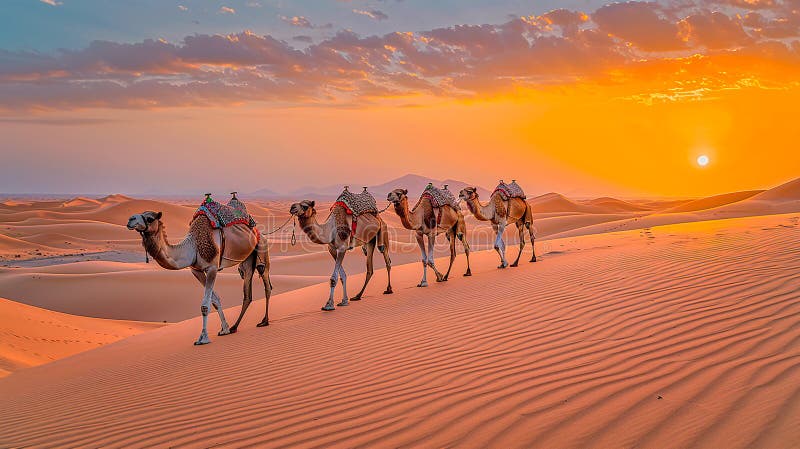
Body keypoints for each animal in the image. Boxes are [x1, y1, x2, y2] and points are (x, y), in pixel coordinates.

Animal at [126, 210, 271, 345]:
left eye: (150, 219)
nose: (130, 219)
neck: (193, 247)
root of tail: (258, 231)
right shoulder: (196, 271)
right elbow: (215, 300)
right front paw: (224, 329)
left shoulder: (212, 268)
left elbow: (205, 305)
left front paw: (203, 338)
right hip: (247, 260)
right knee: (247, 294)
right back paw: (234, 327)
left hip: (262, 249)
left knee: (267, 284)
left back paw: (264, 321)